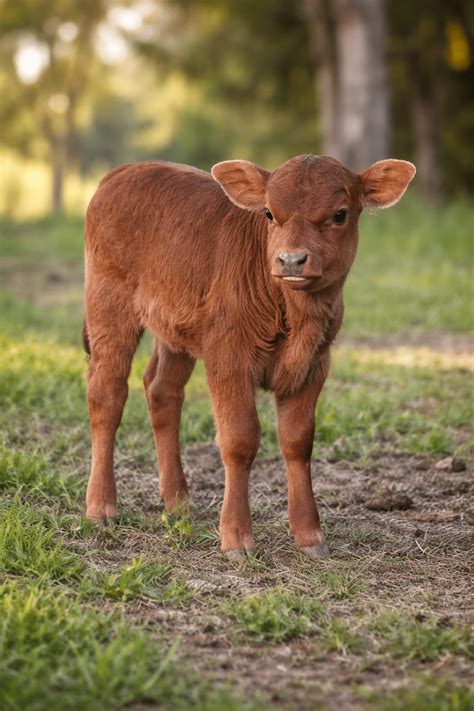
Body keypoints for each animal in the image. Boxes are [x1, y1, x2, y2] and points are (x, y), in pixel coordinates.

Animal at [83, 154, 415, 559]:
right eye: (270, 213)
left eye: (340, 214)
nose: (291, 259)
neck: (294, 315)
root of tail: (126, 170)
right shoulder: (228, 357)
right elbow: (239, 439)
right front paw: (237, 538)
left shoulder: (314, 365)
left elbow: (298, 441)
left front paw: (310, 535)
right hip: (108, 307)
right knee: (107, 395)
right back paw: (101, 507)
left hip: (175, 327)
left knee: (162, 390)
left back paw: (177, 502)